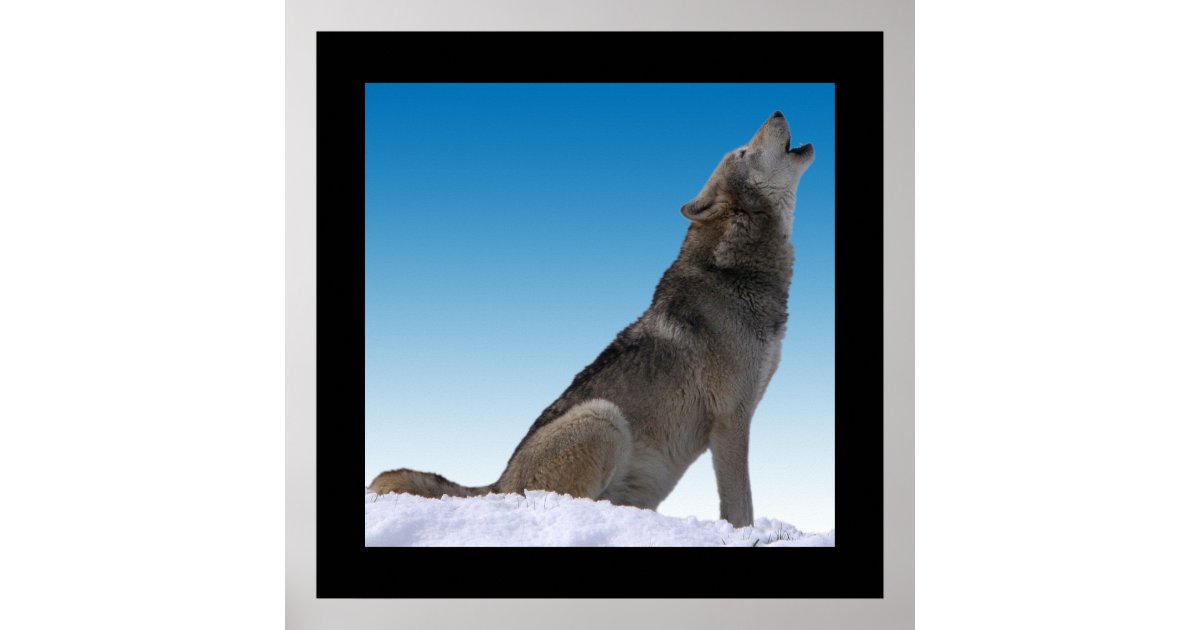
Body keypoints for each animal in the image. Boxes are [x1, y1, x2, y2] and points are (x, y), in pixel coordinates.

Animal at [369, 112, 814, 527]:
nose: (776, 111)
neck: (735, 272)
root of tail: (497, 484)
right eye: (742, 152)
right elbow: (740, 504)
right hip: (603, 417)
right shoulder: (730, 419)